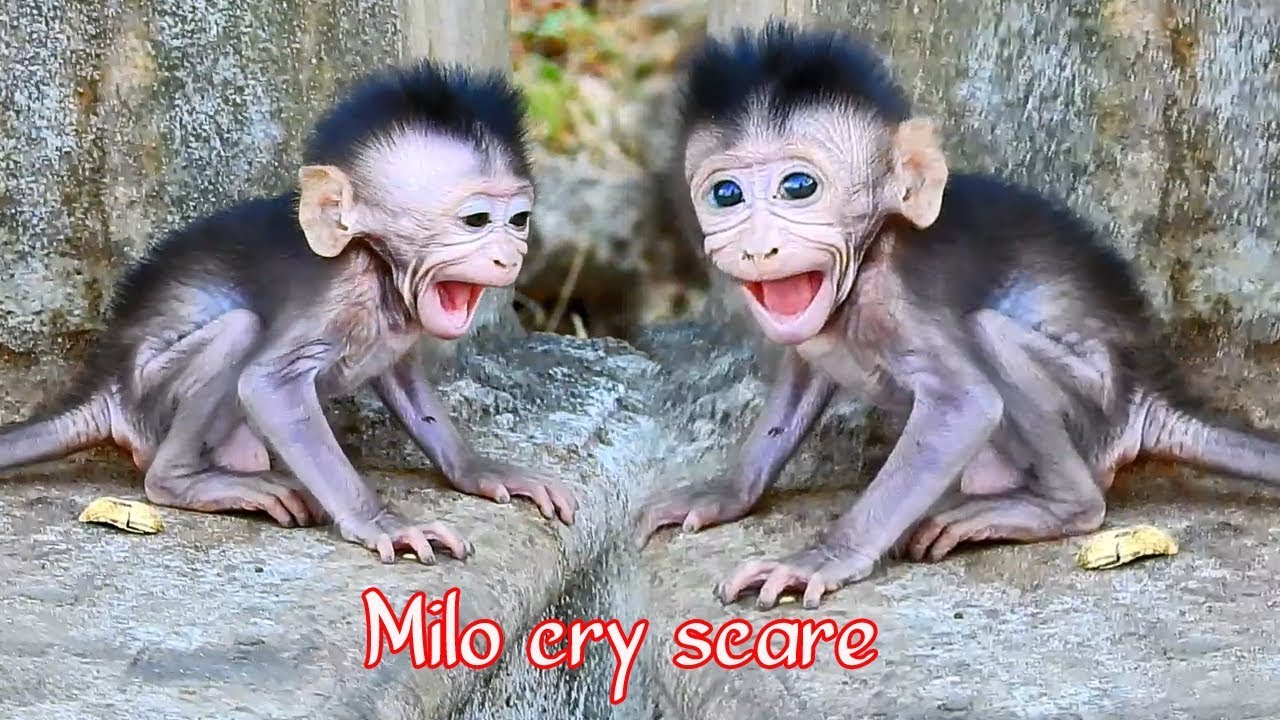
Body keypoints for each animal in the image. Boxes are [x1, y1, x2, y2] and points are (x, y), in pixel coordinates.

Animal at [0, 59, 577, 565]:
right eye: (475, 220)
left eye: (519, 220)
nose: (511, 255)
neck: (383, 270)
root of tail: (110, 388)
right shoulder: (342, 293)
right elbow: (268, 386)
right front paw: (382, 522)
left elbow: (404, 379)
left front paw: (477, 470)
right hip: (150, 395)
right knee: (239, 330)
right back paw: (184, 482)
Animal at [633, 20, 1280, 610]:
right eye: (726, 196)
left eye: (798, 187)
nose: (758, 247)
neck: (866, 258)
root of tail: (1143, 396)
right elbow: (799, 378)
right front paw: (726, 492)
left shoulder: (895, 299)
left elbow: (964, 405)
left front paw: (821, 558)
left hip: (1094, 402)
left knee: (988, 333)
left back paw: (1058, 508)